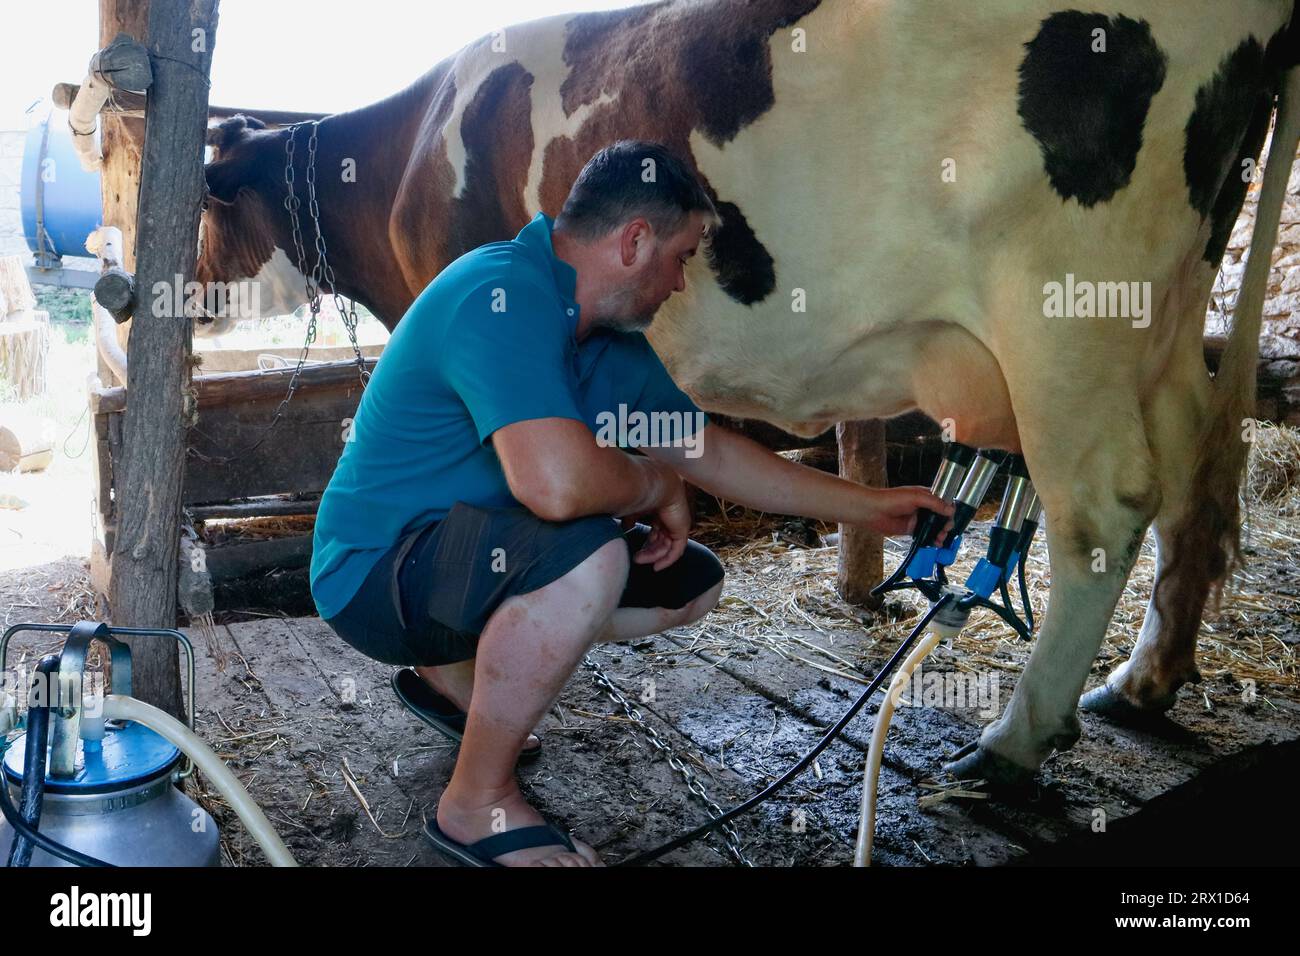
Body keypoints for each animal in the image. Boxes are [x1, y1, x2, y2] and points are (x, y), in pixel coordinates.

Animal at [196, 0, 1300, 786]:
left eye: (209, 208)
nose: (177, 286)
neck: (408, 159)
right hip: (1165, 311)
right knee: (1200, 462)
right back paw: (1138, 684)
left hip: (1066, 308)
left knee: (1105, 503)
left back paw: (1010, 744)